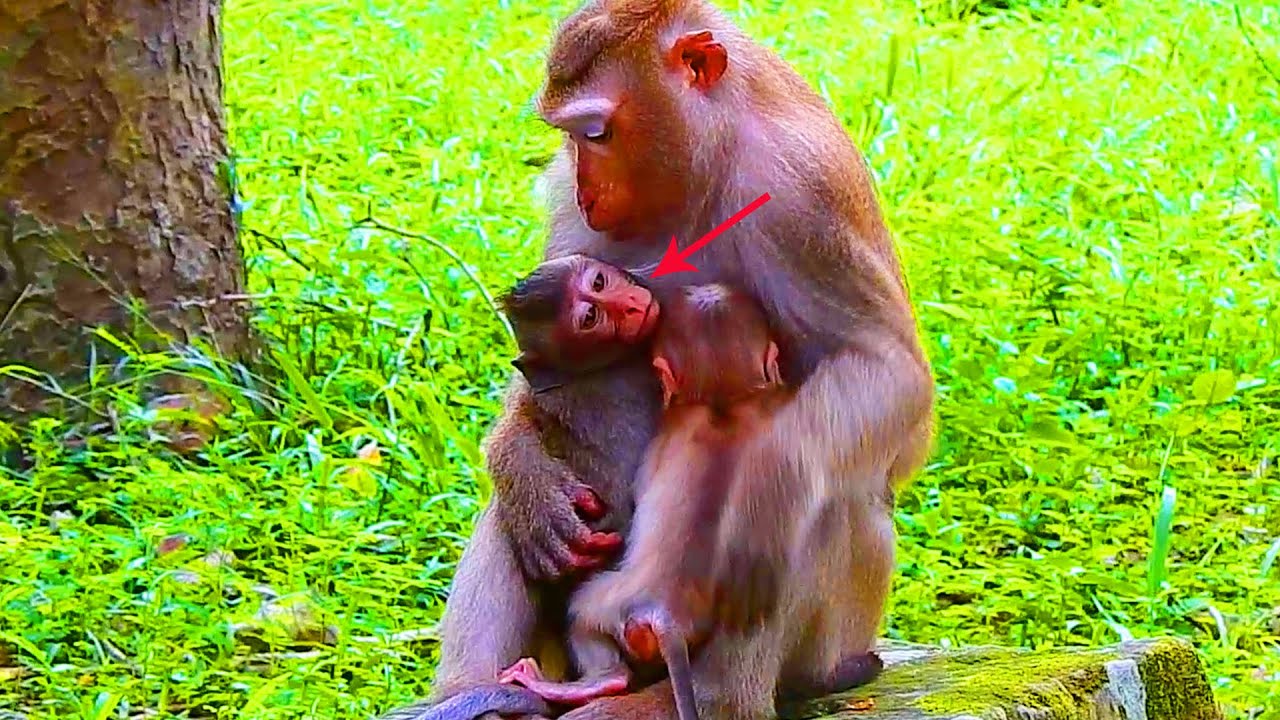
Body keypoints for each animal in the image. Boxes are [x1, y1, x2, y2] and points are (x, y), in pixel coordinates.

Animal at [385, 0, 935, 718]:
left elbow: (888, 377)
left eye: (598, 132)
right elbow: (538, 375)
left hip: (829, 641)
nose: (586, 187)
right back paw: (475, 690)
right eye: (571, 139)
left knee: (824, 496)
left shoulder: (803, 193)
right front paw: (521, 469)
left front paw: (768, 488)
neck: (713, 154)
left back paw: (715, 695)